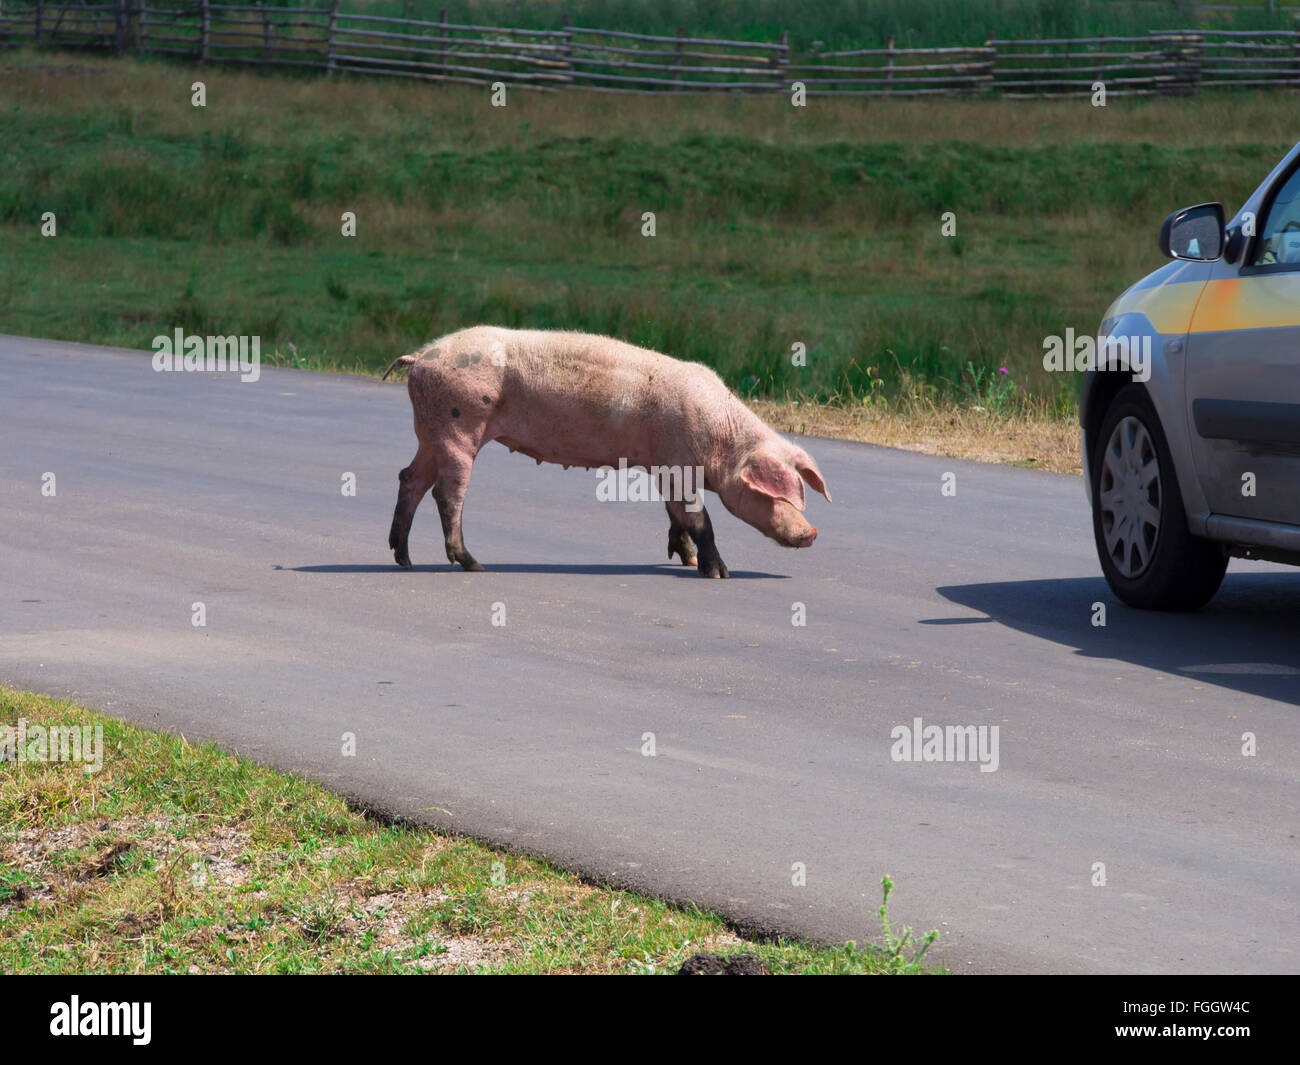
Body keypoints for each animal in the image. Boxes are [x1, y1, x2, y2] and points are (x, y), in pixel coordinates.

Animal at [381, 326, 830, 578]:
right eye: (771, 494)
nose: (811, 533)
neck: (722, 439)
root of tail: (420, 356)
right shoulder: (679, 462)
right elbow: (700, 520)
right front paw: (719, 574)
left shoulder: (664, 466)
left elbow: (677, 516)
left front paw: (683, 560)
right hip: (459, 425)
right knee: (446, 492)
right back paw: (474, 564)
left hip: (430, 430)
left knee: (410, 478)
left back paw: (404, 559)